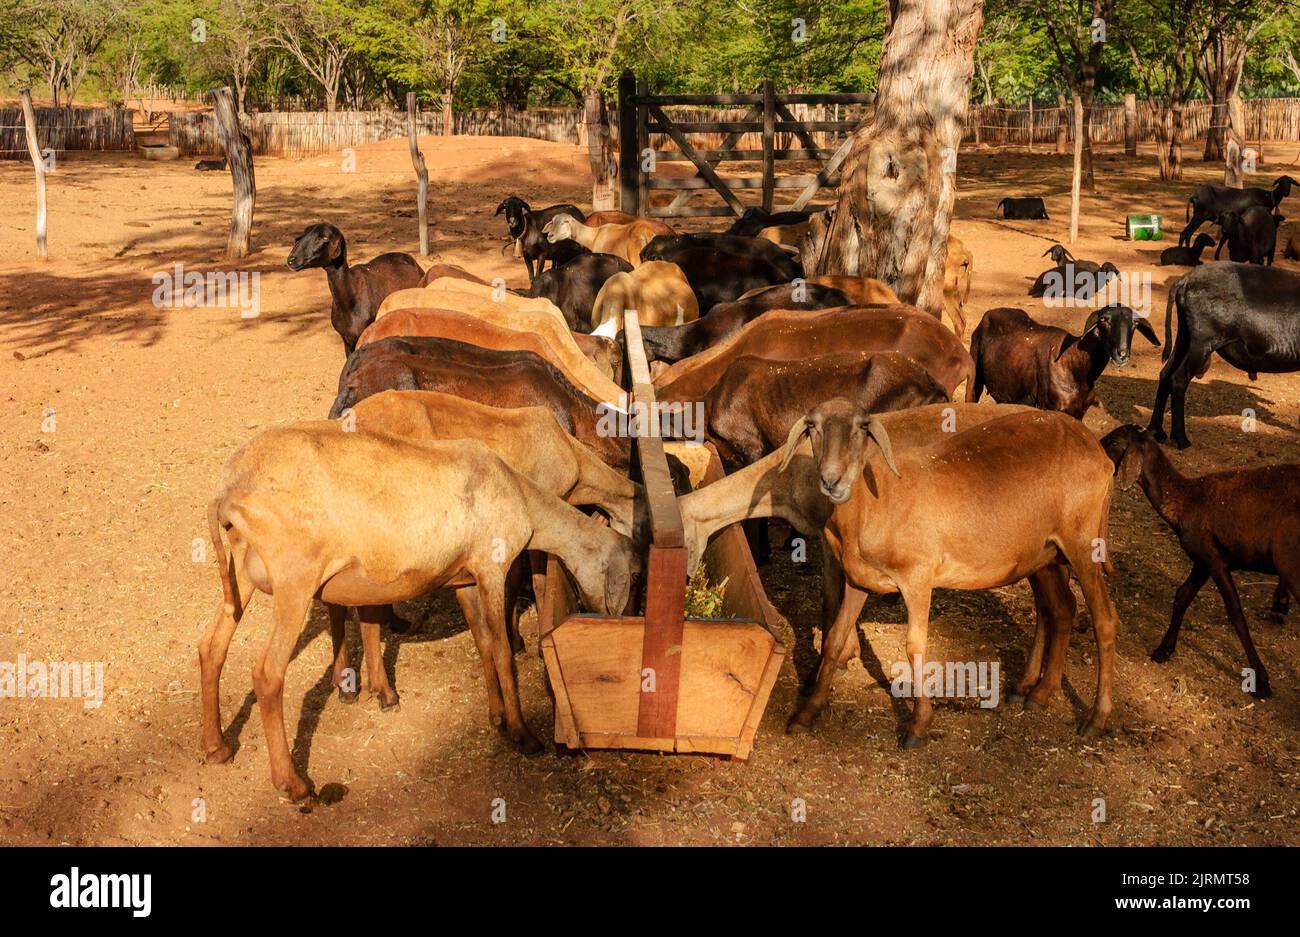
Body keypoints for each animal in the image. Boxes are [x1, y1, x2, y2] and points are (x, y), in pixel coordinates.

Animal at [200, 429, 635, 798]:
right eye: (632, 574)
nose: (619, 617)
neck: (523, 500)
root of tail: (226, 487)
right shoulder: (492, 567)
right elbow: (503, 652)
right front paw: (523, 734)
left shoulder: (464, 579)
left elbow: (483, 643)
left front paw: (496, 718)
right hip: (295, 577)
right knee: (267, 673)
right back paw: (293, 785)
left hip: (242, 570)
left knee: (210, 647)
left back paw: (216, 747)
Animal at [677, 401, 1120, 745]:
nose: (684, 587)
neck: (785, 485)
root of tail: (1098, 452)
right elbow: (836, 619)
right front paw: (819, 688)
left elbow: (835, 606)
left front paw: (834, 669)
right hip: (1042, 552)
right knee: (1059, 609)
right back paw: (1035, 690)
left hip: (1080, 544)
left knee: (1099, 618)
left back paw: (1094, 717)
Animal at [967, 305, 1159, 419]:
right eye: (1104, 320)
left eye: (1135, 324)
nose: (1122, 353)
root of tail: (990, 312)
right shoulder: (1047, 408)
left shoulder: (1079, 413)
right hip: (974, 379)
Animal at [1101, 425, 1298, 698]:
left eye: (1114, 441)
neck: (1185, 500)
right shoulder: (1203, 559)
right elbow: (1182, 596)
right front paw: (1163, 650)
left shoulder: (1216, 560)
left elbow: (1236, 614)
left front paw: (1261, 680)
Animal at [1151, 263, 1300, 448]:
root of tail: (1185, 279)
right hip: (1202, 343)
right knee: (1178, 380)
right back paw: (1181, 439)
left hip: (1185, 338)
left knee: (1165, 374)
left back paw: (1157, 431)